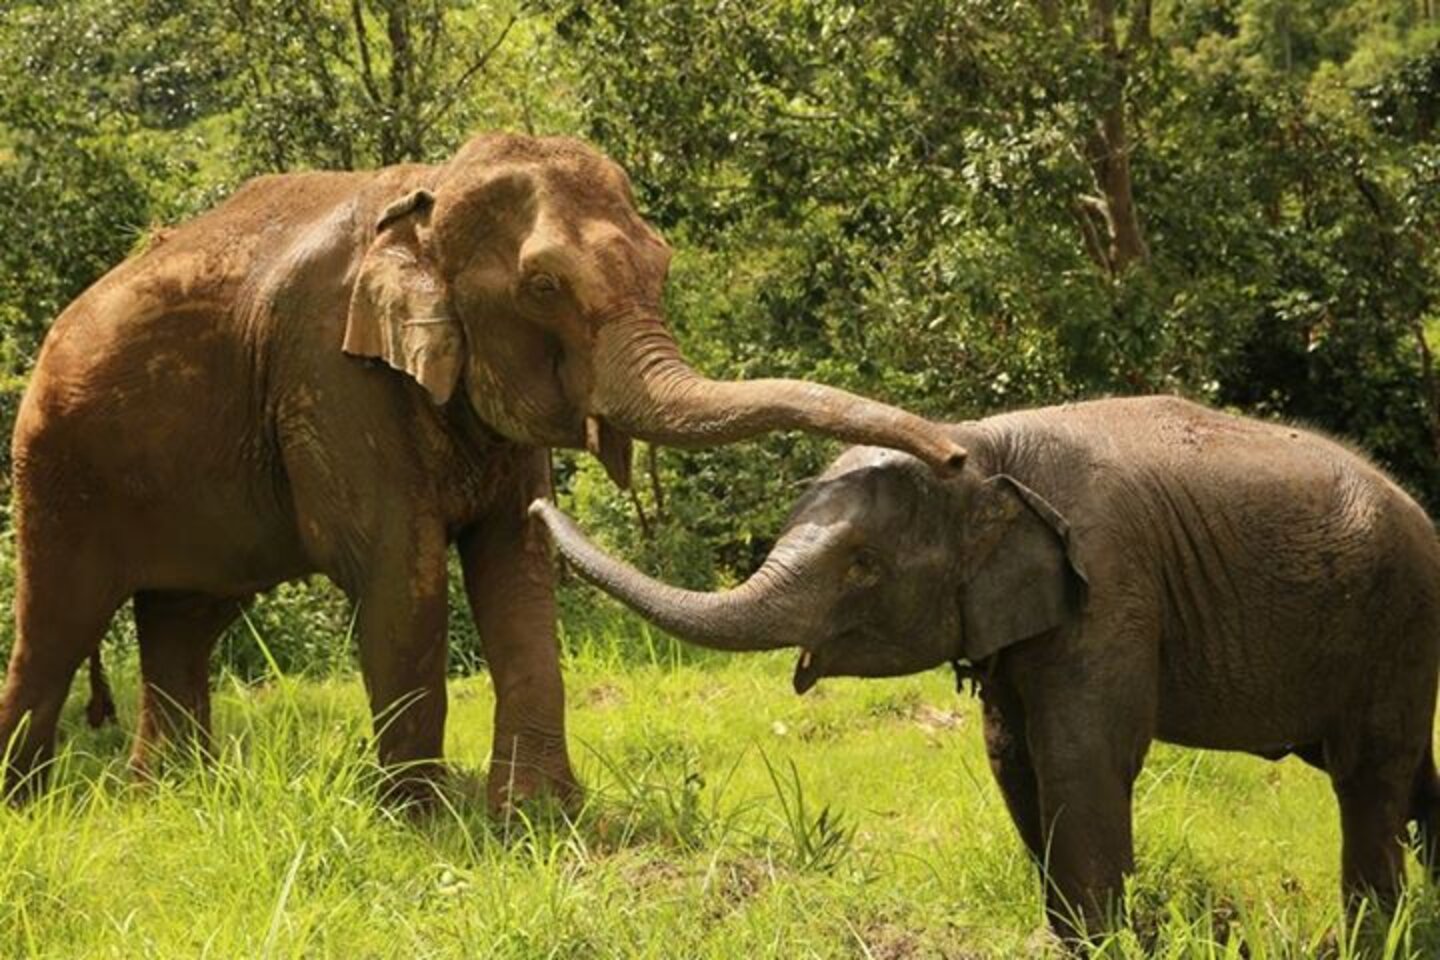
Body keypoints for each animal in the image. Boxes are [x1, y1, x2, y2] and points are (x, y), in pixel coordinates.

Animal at [3, 132, 966, 810]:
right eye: (542, 289)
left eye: (662, 264)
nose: (956, 457)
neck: (427, 201)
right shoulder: (335, 373)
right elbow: (403, 575)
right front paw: (422, 823)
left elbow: (516, 572)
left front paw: (538, 814)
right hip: (57, 465)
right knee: (58, 623)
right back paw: (35, 806)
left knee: (184, 620)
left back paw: (170, 796)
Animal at [531, 394, 1440, 938]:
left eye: (863, 566)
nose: (539, 499)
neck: (984, 447)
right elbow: (1013, 755)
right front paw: (1070, 940)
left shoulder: (1112, 585)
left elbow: (1082, 755)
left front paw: (1102, 943)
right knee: (1403, 776)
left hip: (1398, 619)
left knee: (1369, 776)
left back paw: (1370, 939)